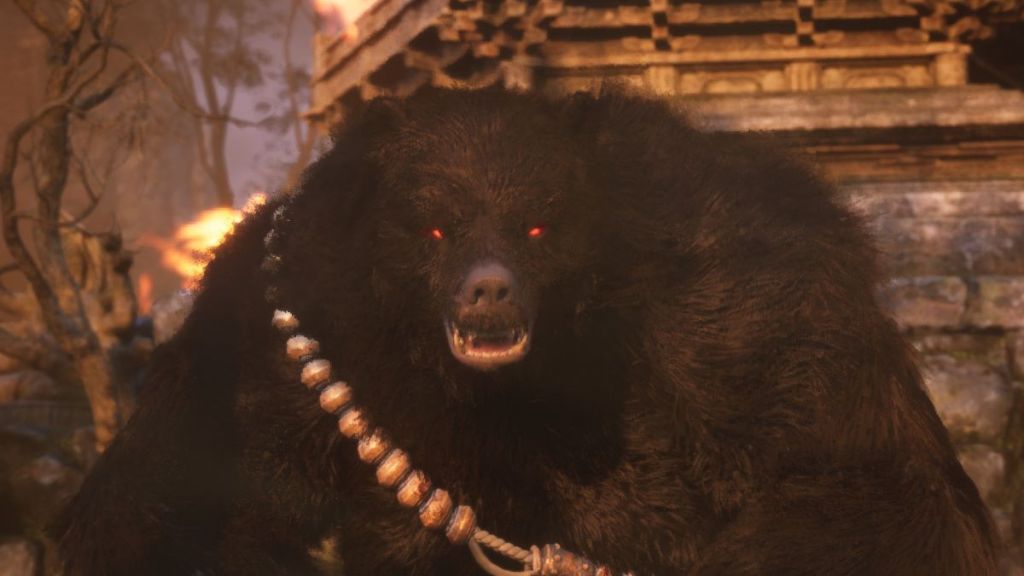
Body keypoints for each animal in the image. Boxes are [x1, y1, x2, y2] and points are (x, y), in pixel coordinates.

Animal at [55, 86, 997, 575]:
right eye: (434, 227)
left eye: (540, 224)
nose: (489, 293)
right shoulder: (273, 340)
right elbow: (182, 510)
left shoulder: (753, 320)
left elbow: (852, 490)